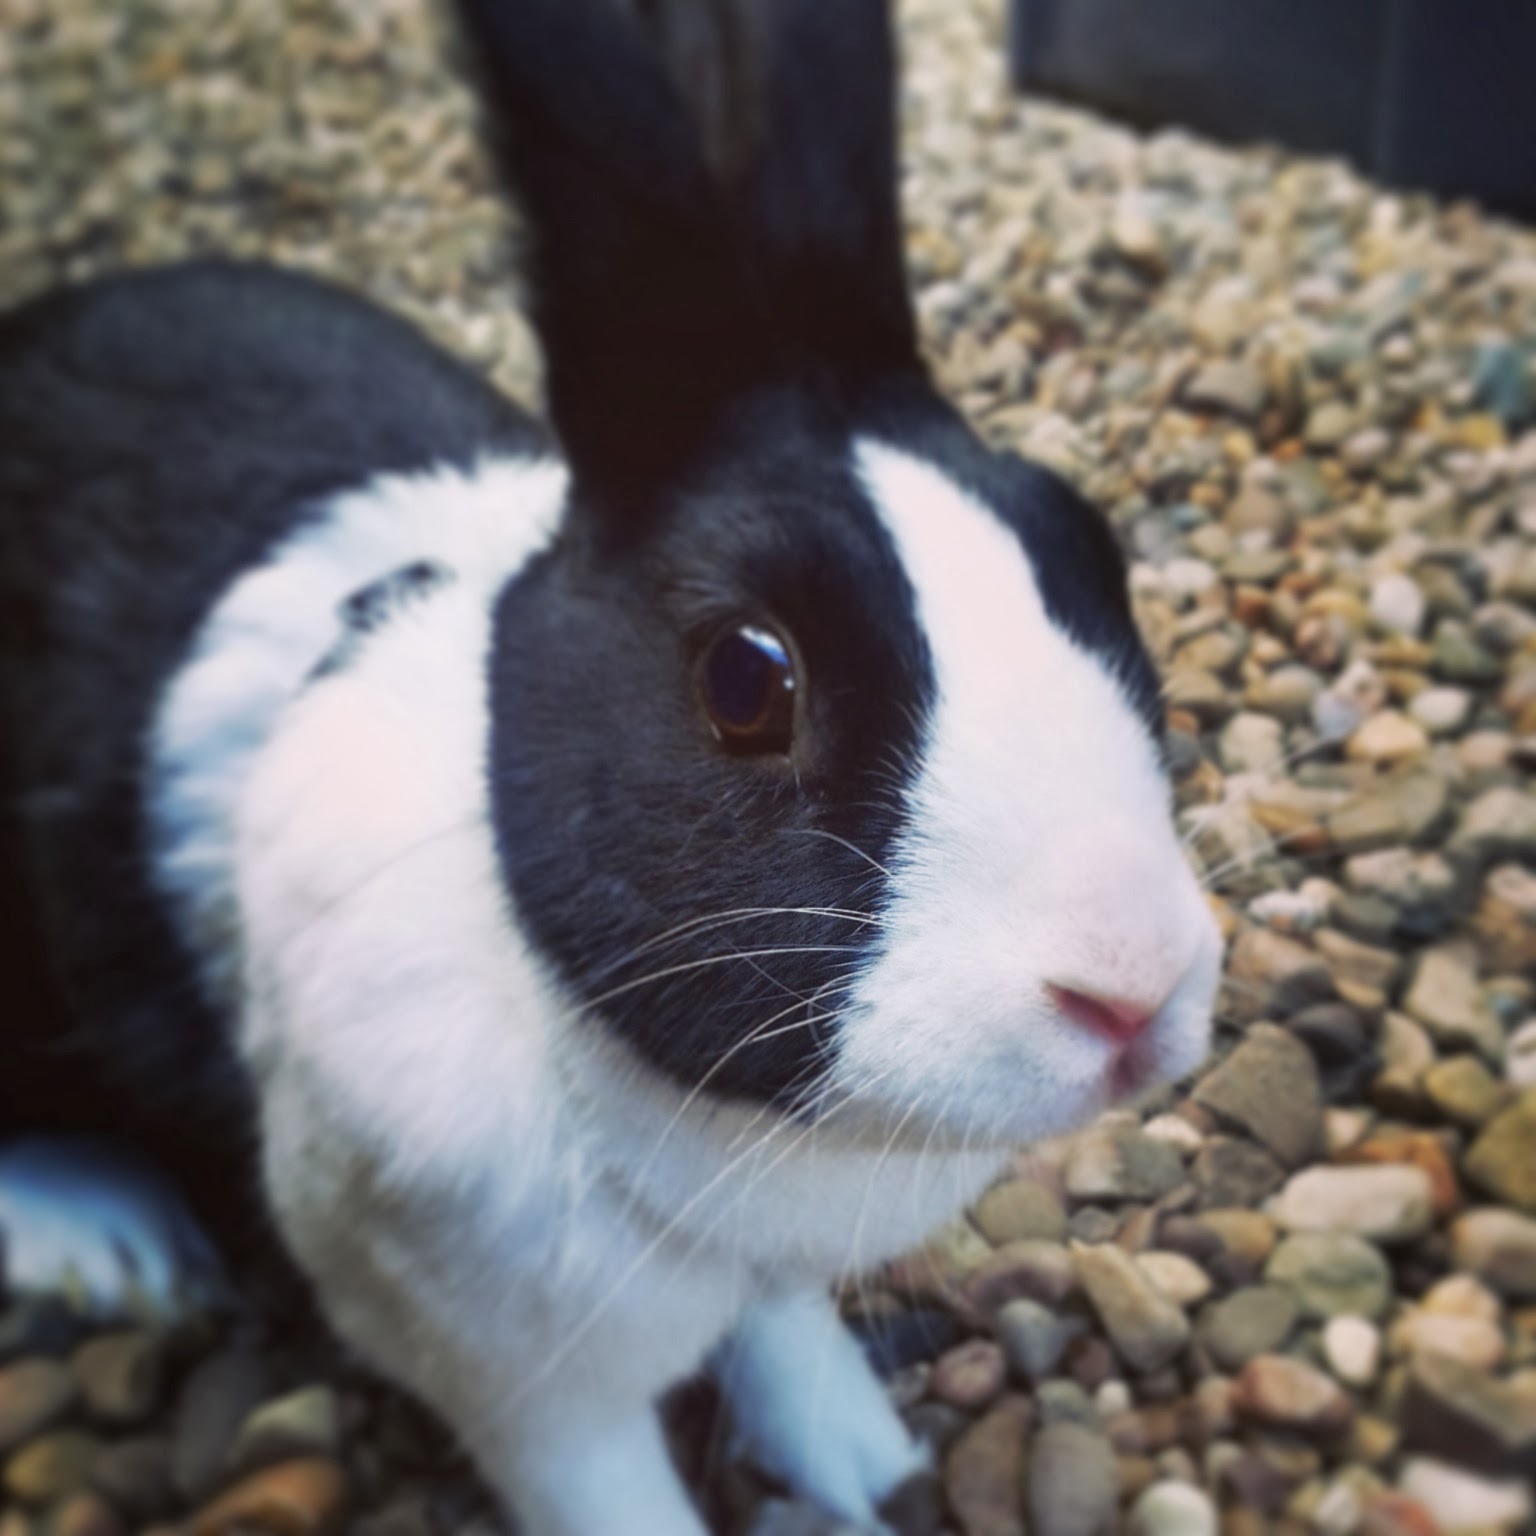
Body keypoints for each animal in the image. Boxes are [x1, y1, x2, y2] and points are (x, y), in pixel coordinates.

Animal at [0, 0, 1222, 1531]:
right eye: (748, 679)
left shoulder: (763, 1285)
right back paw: (109, 1242)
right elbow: (606, 1487)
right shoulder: (513, 1375)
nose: (1132, 989)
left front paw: (868, 1473)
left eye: (1091, 554)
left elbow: (786, 1342)